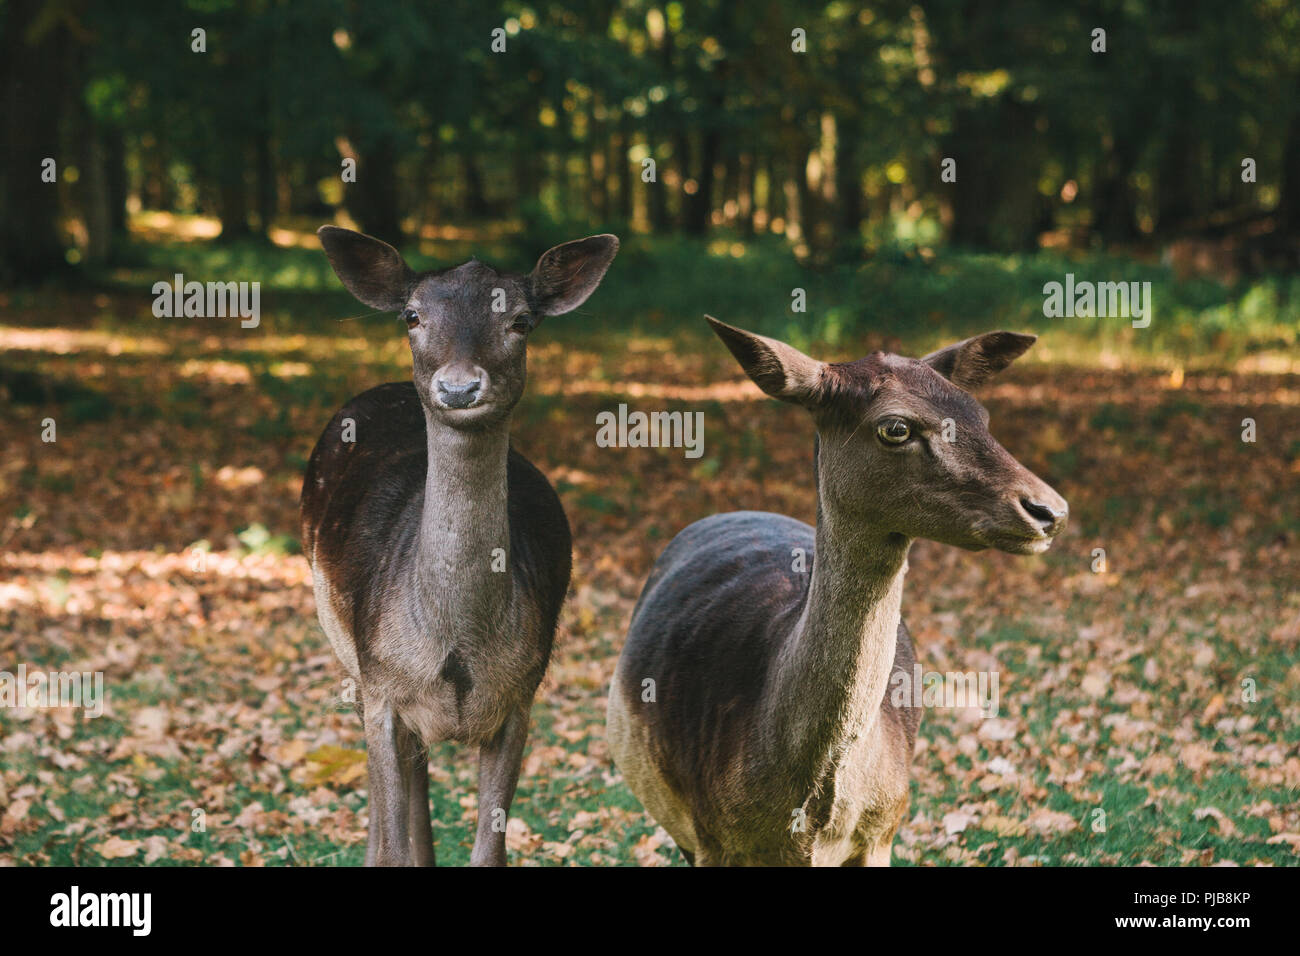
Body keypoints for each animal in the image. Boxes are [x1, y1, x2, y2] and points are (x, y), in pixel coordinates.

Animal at [302, 225, 618, 866]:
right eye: (412, 315)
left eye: (521, 320)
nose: (458, 386)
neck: (455, 645)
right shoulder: (381, 686)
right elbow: (391, 835)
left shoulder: (520, 696)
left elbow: (488, 850)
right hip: (348, 656)